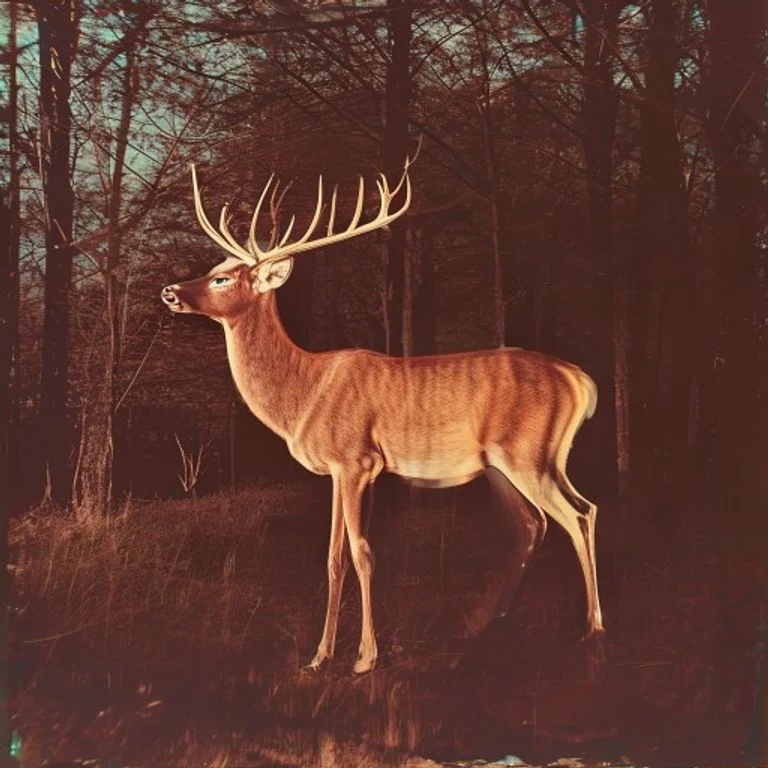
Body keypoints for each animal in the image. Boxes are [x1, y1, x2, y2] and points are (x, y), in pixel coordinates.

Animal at [161, 159, 604, 675]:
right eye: (214, 269)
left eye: (224, 279)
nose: (170, 291)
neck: (302, 391)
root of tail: (581, 380)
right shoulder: (335, 471)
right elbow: (333, 557)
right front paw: (318, 657)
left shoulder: (356, 460)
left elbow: (362, 553)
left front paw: (365, 658)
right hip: (507, 465)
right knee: (535, 525)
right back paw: (491, 628)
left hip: (530, 453)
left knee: (580, 513)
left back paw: (593, 630)